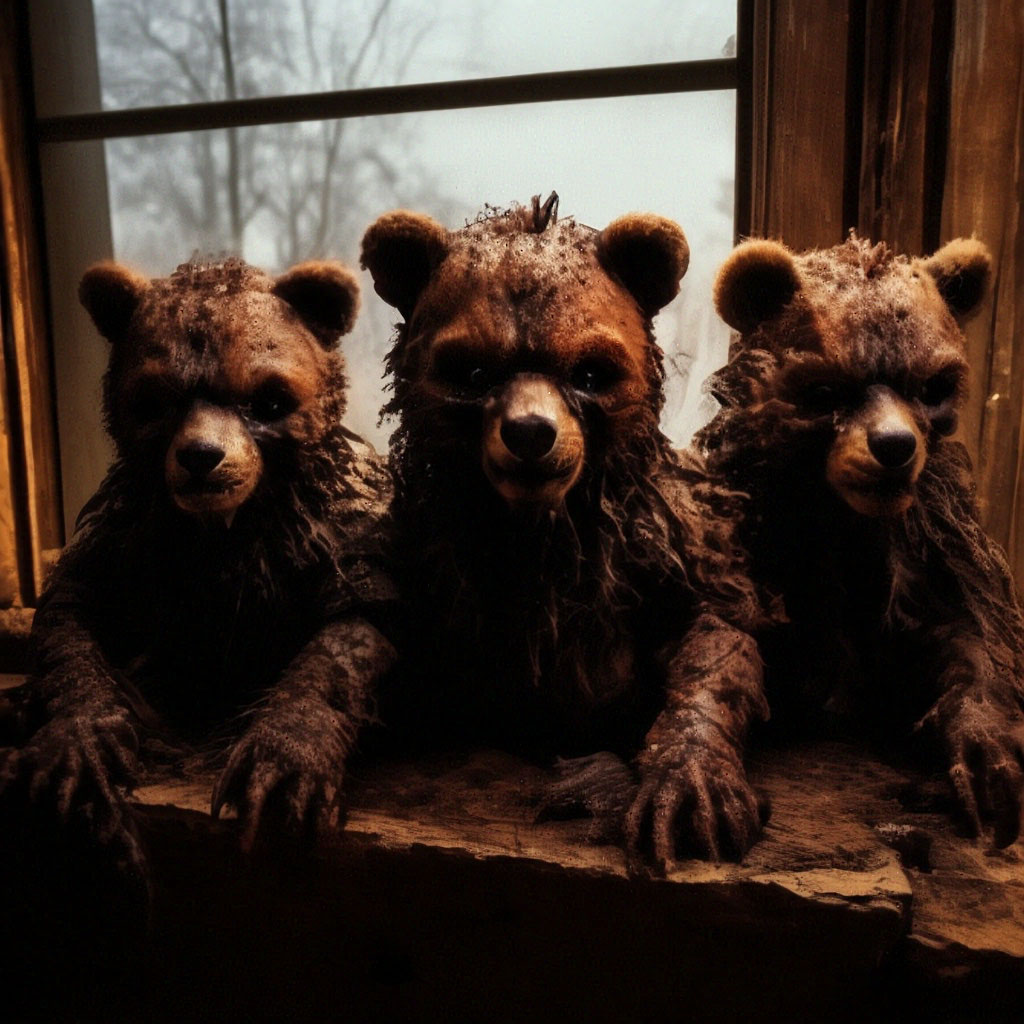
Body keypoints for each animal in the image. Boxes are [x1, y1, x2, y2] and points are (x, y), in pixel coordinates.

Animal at [0, 256, 396, 875]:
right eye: (155, 401)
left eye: (268, 401)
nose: (201, 456)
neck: (226, 529)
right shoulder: (123, 529)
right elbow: (68, 614)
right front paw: (77, 734)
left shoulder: (343, 525)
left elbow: (356, 630)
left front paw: (288, 747)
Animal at [360, 194, 772, 868]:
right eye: (472, 373)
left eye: (589, 374)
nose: (531, 431)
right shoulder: (419, 545)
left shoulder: (664, 539)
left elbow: (718, 628)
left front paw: (689, 772)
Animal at [697, 233, 1024, 847]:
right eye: (825, 390)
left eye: (933, 388)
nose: (894, 444)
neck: (846, 521)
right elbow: (719, 629)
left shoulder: (941, 542)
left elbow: (970, 630)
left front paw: (984, 739)